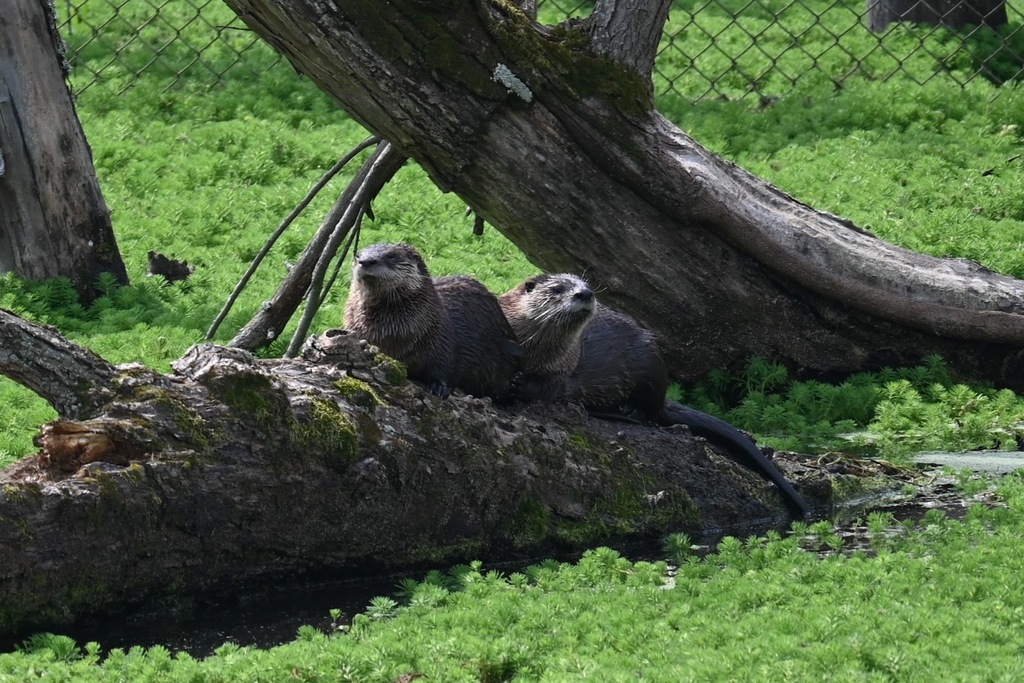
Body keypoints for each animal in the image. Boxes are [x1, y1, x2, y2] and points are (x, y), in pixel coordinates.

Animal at [344, 243, 520, 402]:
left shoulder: (440, 337)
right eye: (358, 255)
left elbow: (443, 365)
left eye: (391, 256)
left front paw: (439, 387)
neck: (390, 334)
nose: (366, 261)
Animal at [501, 274, 811, 518]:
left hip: (650, 365)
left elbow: (547, 389)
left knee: (650, 413)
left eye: (586, 284)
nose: (585, 293)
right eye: (556, 289)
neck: (533, 350)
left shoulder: (562, 370)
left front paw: (520, 383)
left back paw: (628, 411)